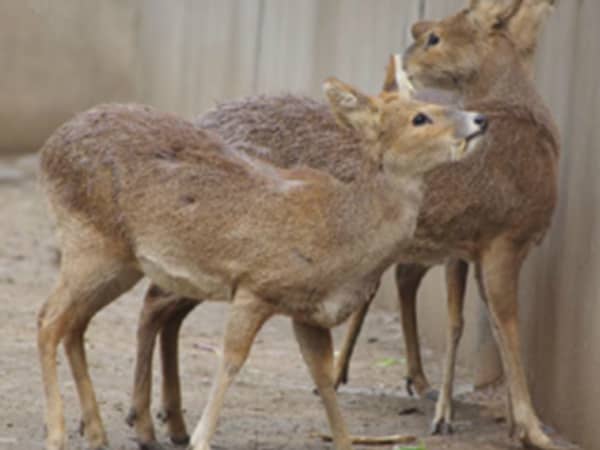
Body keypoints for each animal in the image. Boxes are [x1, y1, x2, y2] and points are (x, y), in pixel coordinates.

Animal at [38, 73, 488, 450]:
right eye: (420, 117)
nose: (480, 119)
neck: (340, 233)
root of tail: (50, 147)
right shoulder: (255, 286)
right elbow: (232, 359)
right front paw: (200, 438)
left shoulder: (308, 310)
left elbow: (322, 375)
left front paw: (344, 439)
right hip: (89, 245)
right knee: (49, 319)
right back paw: (59, 433)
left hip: (120, 263)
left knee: (76, 324)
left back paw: (98, 432)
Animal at [127, 0, 564, 446]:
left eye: (432, 36)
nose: (402, 60)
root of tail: (204, 118)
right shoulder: (503, 240)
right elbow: (506, 328)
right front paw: (531, 429)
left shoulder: (471, 248)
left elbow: (483, 325)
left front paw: (509, 423)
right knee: (155, 303)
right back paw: (147, 420)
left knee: (166, 309)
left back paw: (171, 421)